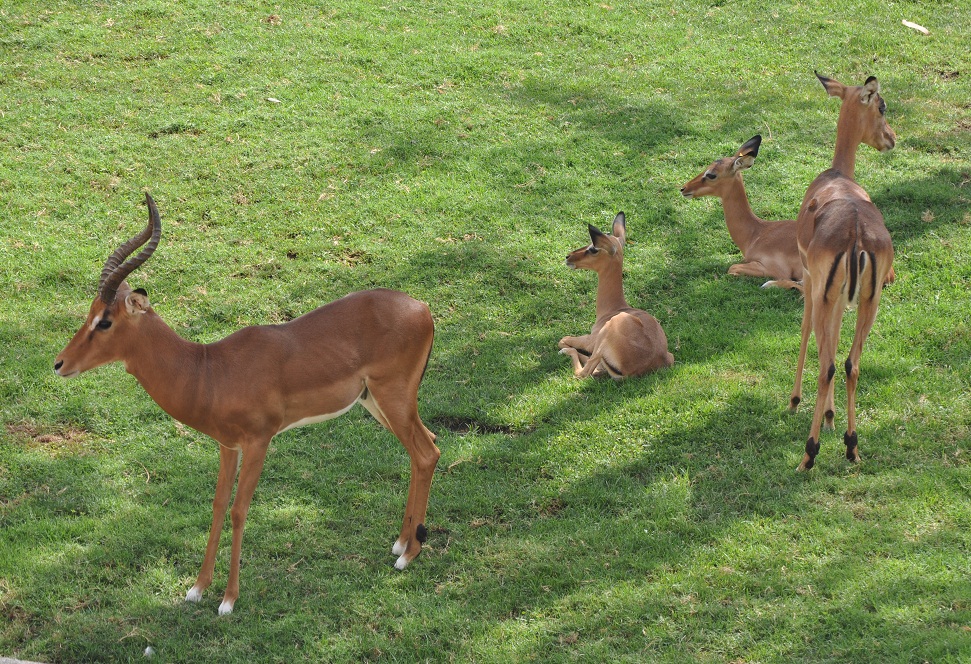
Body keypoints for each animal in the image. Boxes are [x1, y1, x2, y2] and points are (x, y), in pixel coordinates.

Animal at [54, 194, 441, 614]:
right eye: (90, 314)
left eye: (105, 321)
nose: (60, 363)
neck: (209, 371)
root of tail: (422, 308)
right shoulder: (228, 445)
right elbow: (218, 504)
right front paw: (197, 589)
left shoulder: (259, 442)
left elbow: (239, 511)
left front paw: (228, 600)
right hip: (377, 403)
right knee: (426, 447)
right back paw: (401, 544)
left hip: (393, 399)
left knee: (427, 453)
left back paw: (409, 555)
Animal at [558, 212, 674, 380]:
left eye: (593, 248)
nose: (568, 257)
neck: (612, 309)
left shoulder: (590, 340)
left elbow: (563, 339)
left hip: (601, 341)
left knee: (584, 372)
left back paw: (565, 352)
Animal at [789, 73, 896, 471]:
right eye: (881, 106)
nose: (891, 138)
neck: (837, 177)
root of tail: (857, 234)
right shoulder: (837, 299)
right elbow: (834, 342)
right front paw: (832, 417)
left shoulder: (811, 282)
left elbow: (808, 334)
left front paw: (796, 401)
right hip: (870, 302)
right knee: (851, 364)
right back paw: (852, 446)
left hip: (826, 294)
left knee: (829, 365)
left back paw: (809, 453)